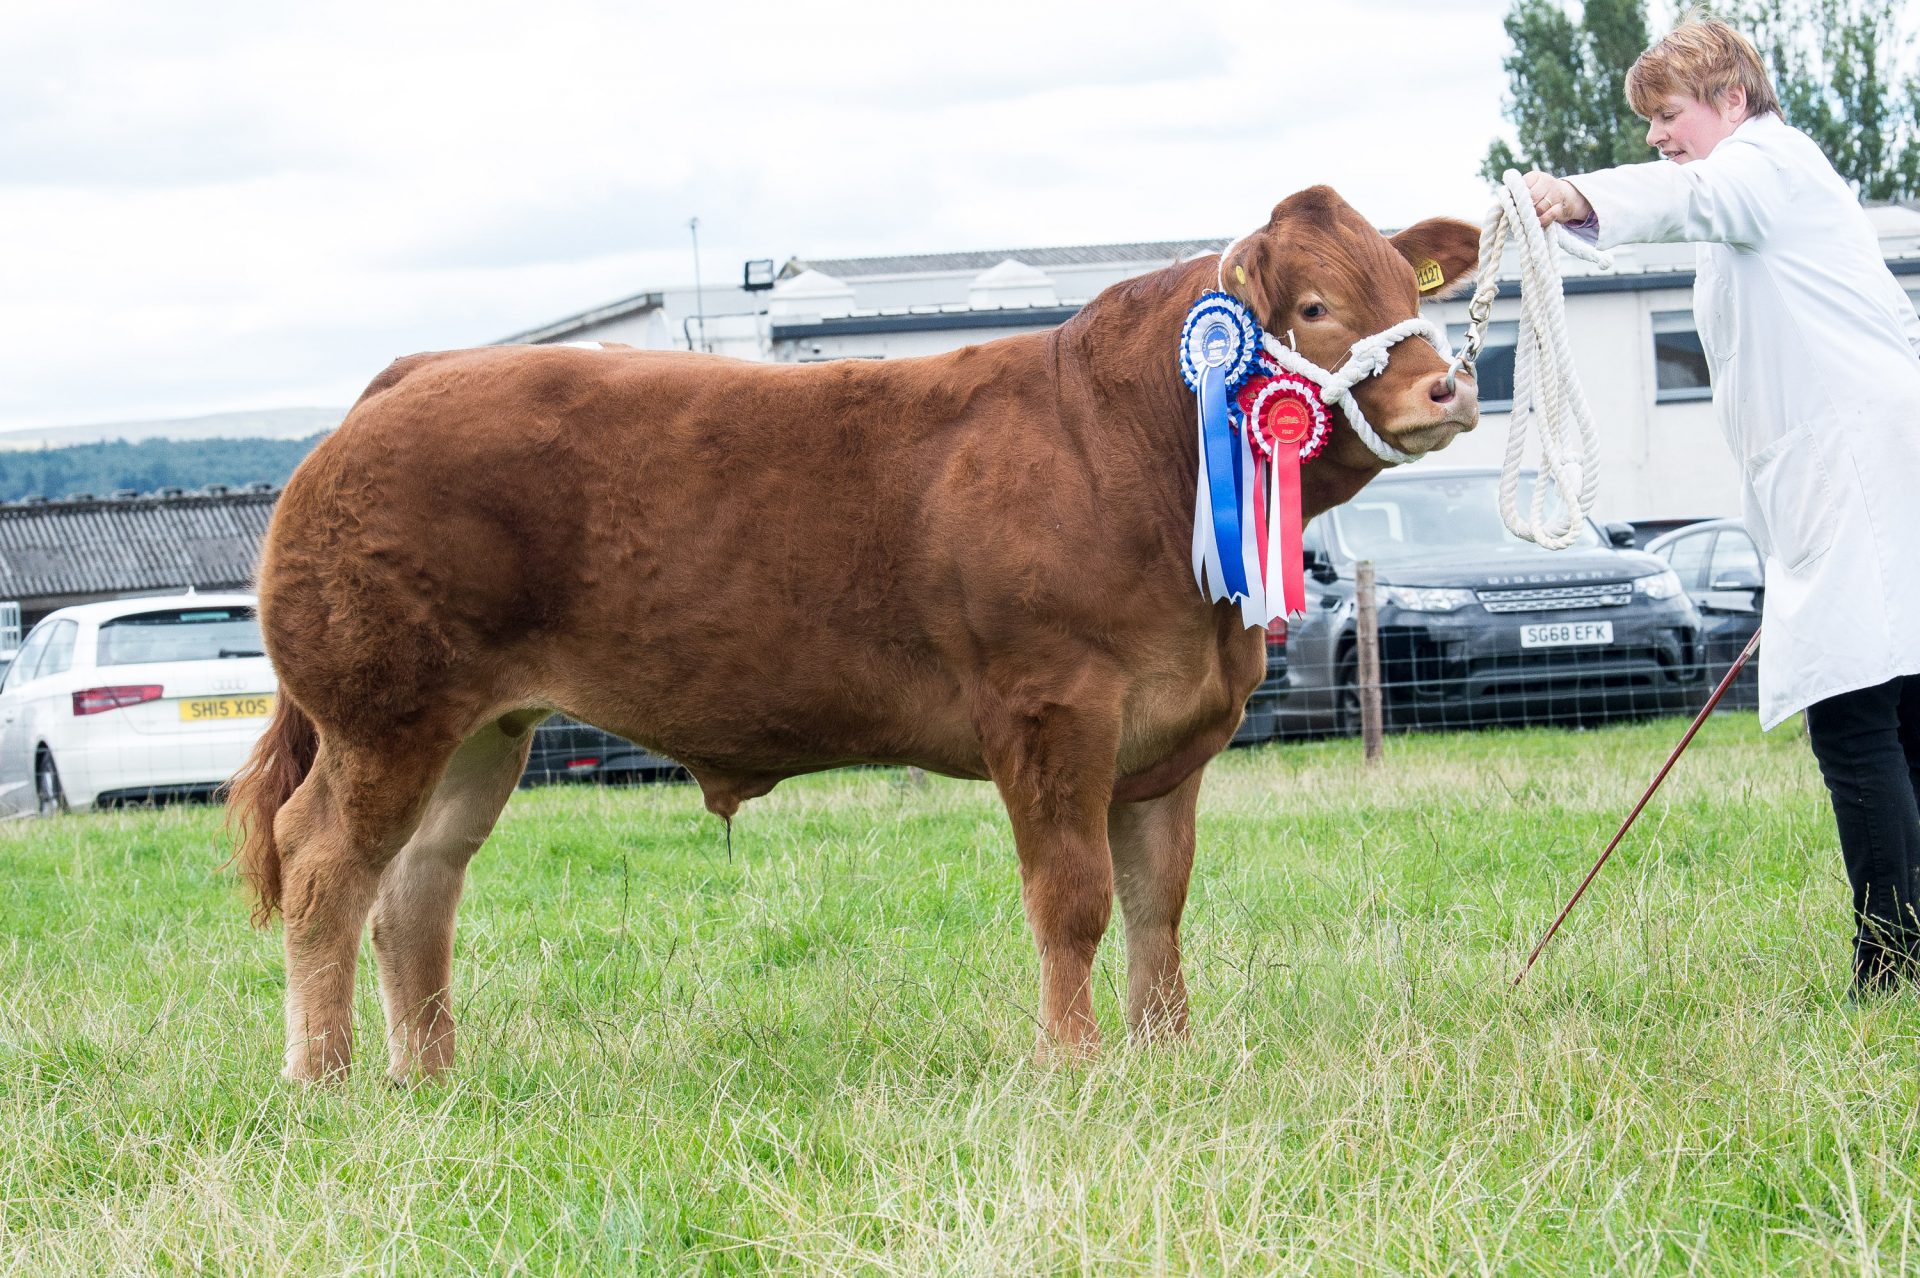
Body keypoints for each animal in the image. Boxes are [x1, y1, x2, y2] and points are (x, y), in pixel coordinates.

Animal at [227, 185, 1481, 1083]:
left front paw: (1167, 1053)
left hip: (482, 728)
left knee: (418, 882)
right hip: (384, 713)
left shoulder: (1169, 739)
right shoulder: (1052, 710)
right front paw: (1076, 1061)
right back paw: (325, 1077)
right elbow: (1073, 895)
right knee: (325, 862)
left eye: (1398, 282)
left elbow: (1156, 905)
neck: (1137, 449)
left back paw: (430, 1072)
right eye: (1313, 306)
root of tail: (414, 375)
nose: (1449, 389)